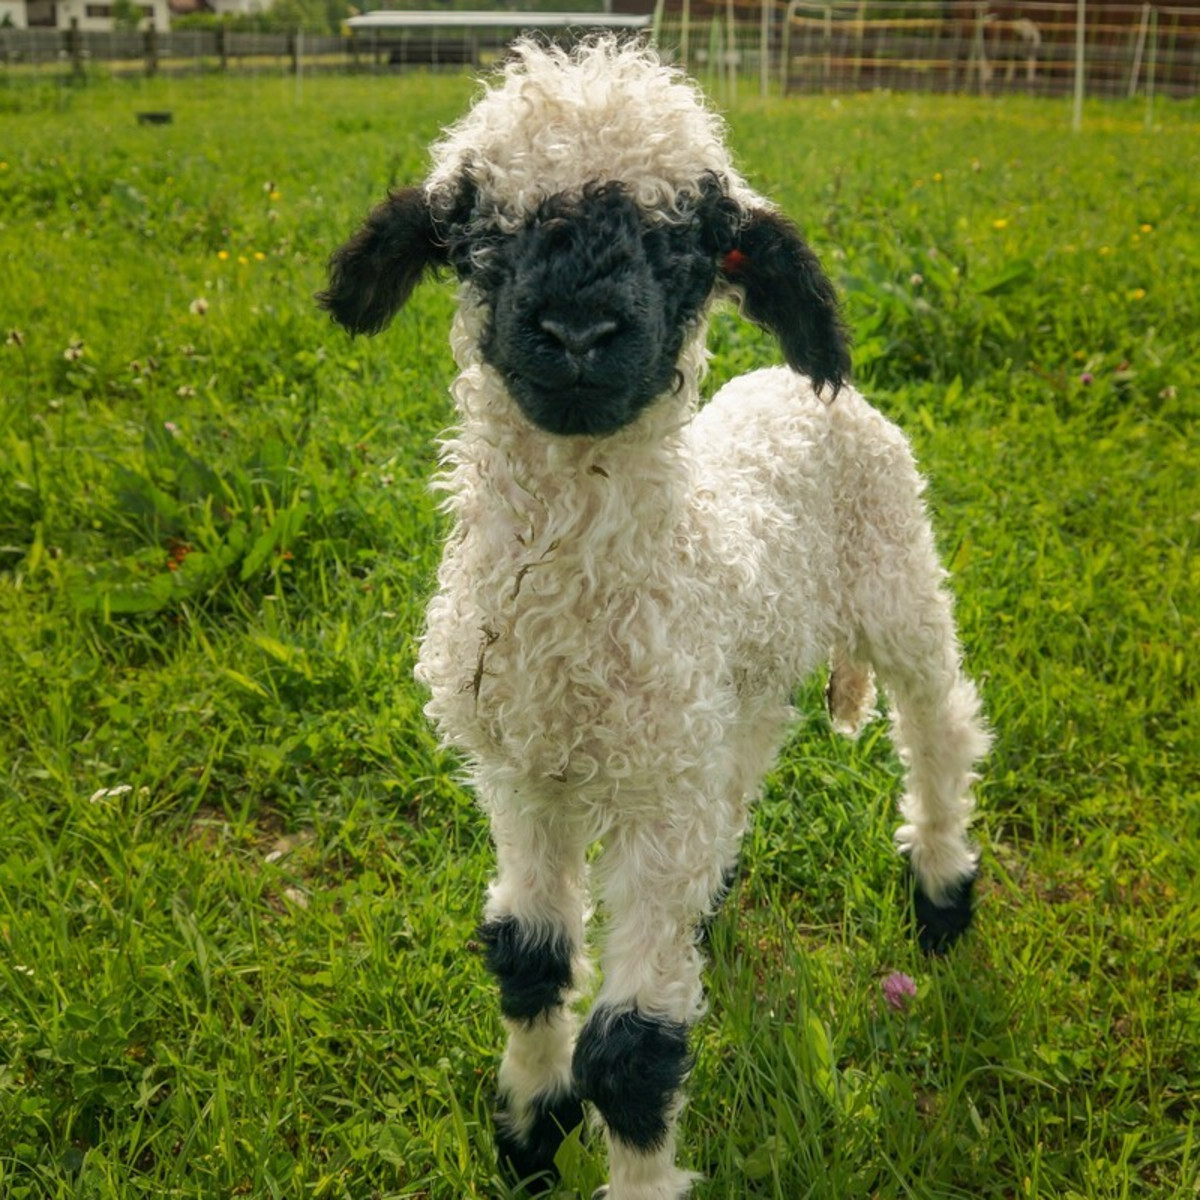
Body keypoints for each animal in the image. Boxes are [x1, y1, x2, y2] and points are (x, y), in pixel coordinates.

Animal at [319, 36, 989, 1200]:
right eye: (474, 231)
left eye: (693, 241)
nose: (579, 330)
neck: (575, 629)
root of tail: (792, 388)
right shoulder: (526, 775)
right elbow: (528, 962)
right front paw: (529, 1130)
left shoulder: (653, 789)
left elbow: (632, 1054)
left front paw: (615, 1156)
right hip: (733, 687)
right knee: (750, 762)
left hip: (899, 577)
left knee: (940, 721)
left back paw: (944, 889)